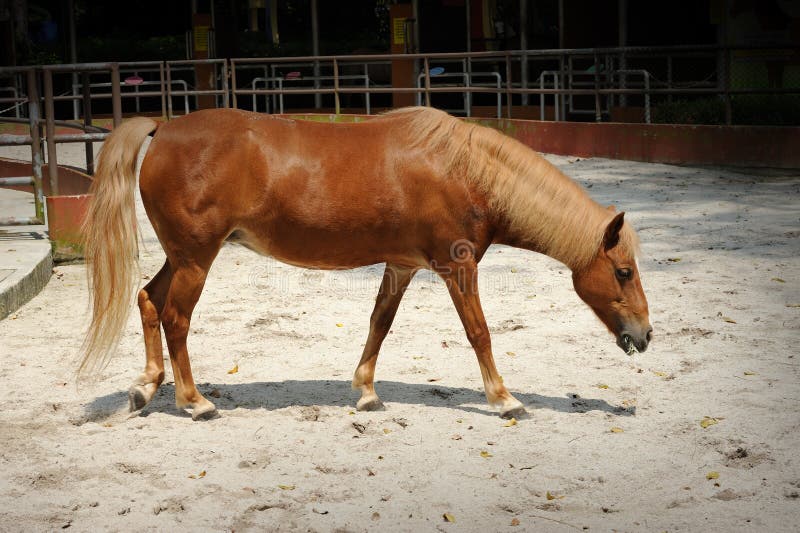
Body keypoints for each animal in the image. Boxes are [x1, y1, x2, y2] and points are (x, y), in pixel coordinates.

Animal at [80, 106, 652, 421]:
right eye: (623, 272)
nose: (645, 335)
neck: (464, 170)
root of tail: (163, 130)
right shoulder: (458, 267)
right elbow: (479, 332)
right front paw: (505, 399)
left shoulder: (400, 266)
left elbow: (380, 322)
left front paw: (366, 392)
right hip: (197, 260)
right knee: (176, 318)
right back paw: (194, 401)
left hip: (182, 258)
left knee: (148, 300)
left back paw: (146, 386)